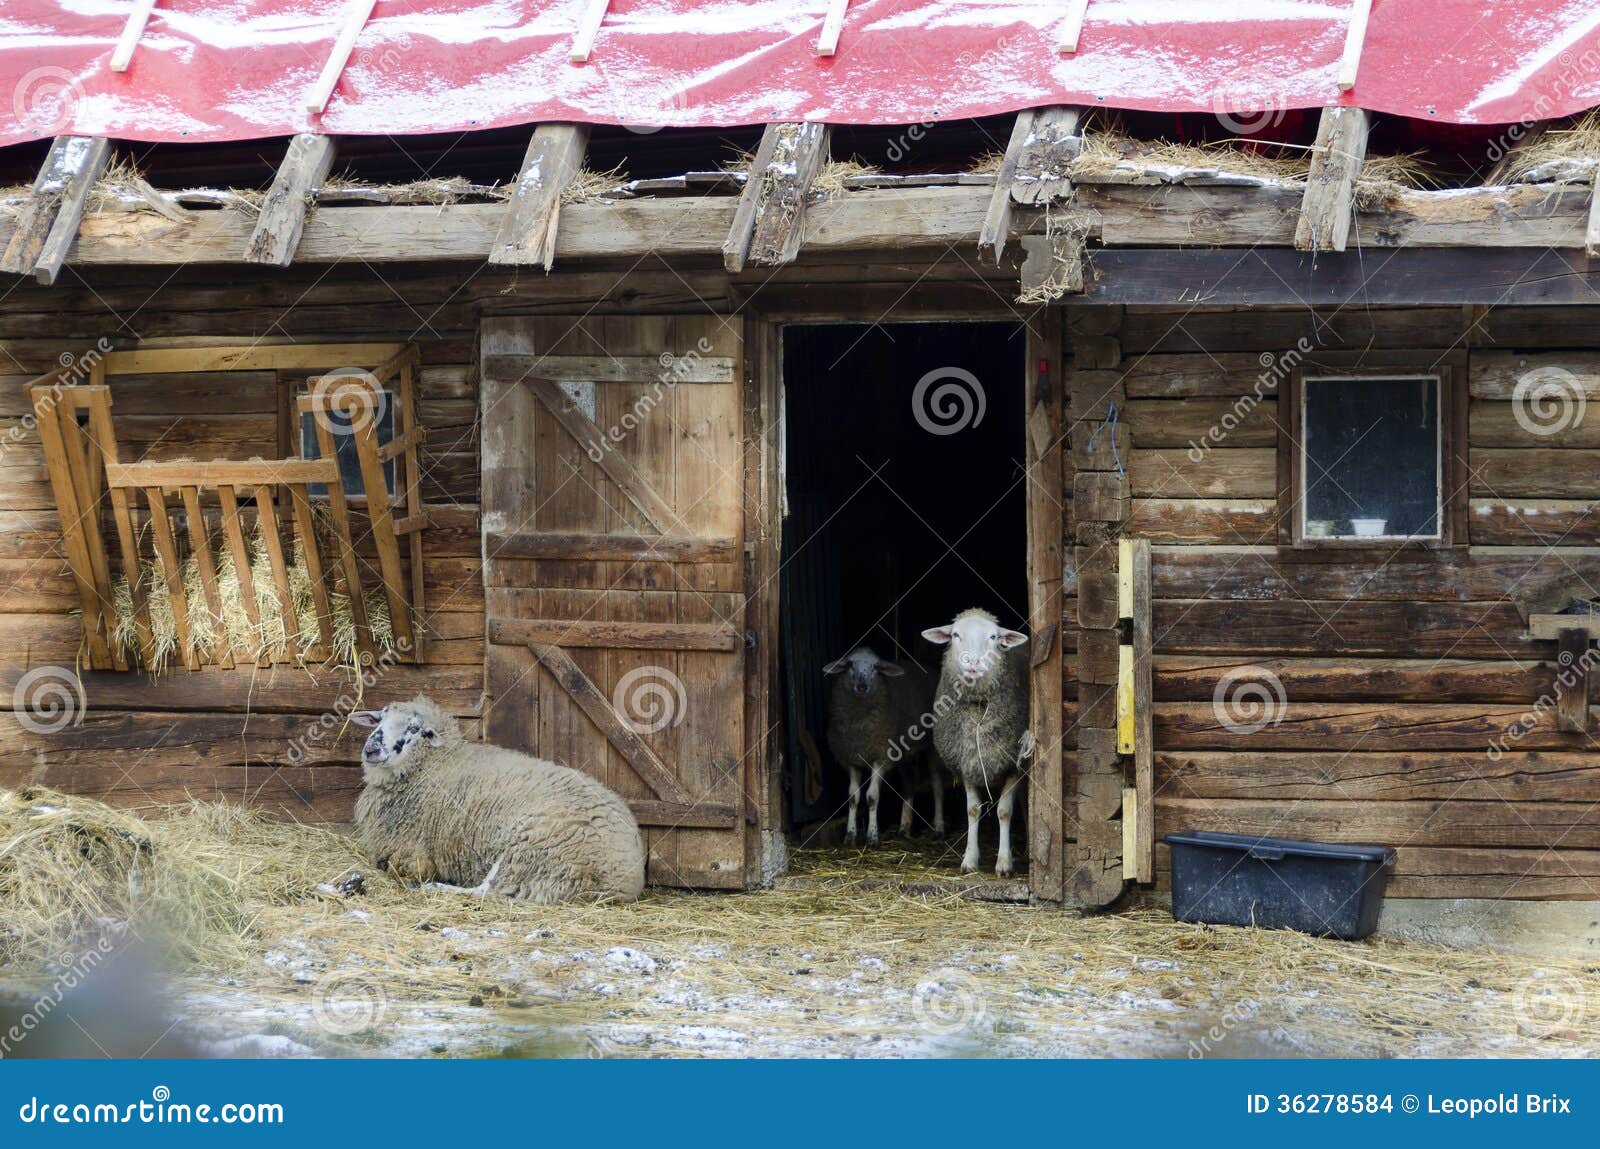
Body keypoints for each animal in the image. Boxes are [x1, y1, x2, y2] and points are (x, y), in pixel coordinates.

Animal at [351, 697, 644, 904]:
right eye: (379, 719)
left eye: (414, 728)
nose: (371, 749)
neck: (437, 763)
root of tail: (627, 876)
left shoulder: (413, 854)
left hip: (532, 850)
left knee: (489, 890)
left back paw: (436, 888)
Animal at [824, 647, 945, 845]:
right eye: (850, 664)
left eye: (876, 666)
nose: (862, 686)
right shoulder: (851, 758)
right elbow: (852, 797)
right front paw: (850, 835)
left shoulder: (881, 757)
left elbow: (872, 797)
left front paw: (872, 837)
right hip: (905, 751)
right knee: (909, 784)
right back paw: (904, 828)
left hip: (933, 747)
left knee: (937, 785)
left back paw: (939, 828)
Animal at [920, 608, 1032, 877]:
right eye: (955, 635)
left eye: (993, 637)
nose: (973, 663)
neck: (978, 709)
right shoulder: (967, 762)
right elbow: (972, 810)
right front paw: (970, 859)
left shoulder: (1012, 765)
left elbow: (1004, 811)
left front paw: (1004, 862)